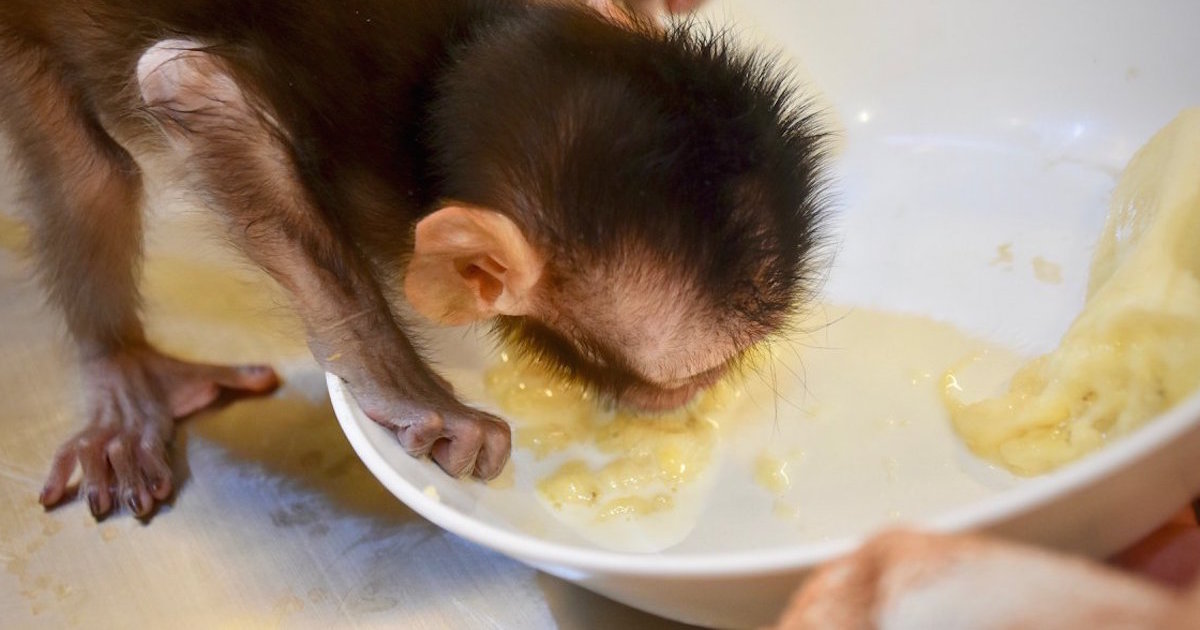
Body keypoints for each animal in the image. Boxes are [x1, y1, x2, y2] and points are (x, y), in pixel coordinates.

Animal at [0, 0, 828, 520]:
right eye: (690, 378)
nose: (702, 395)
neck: (443, 71)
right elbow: (187, 83)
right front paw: (413, 395)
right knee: (89, 174)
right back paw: (123, 369)